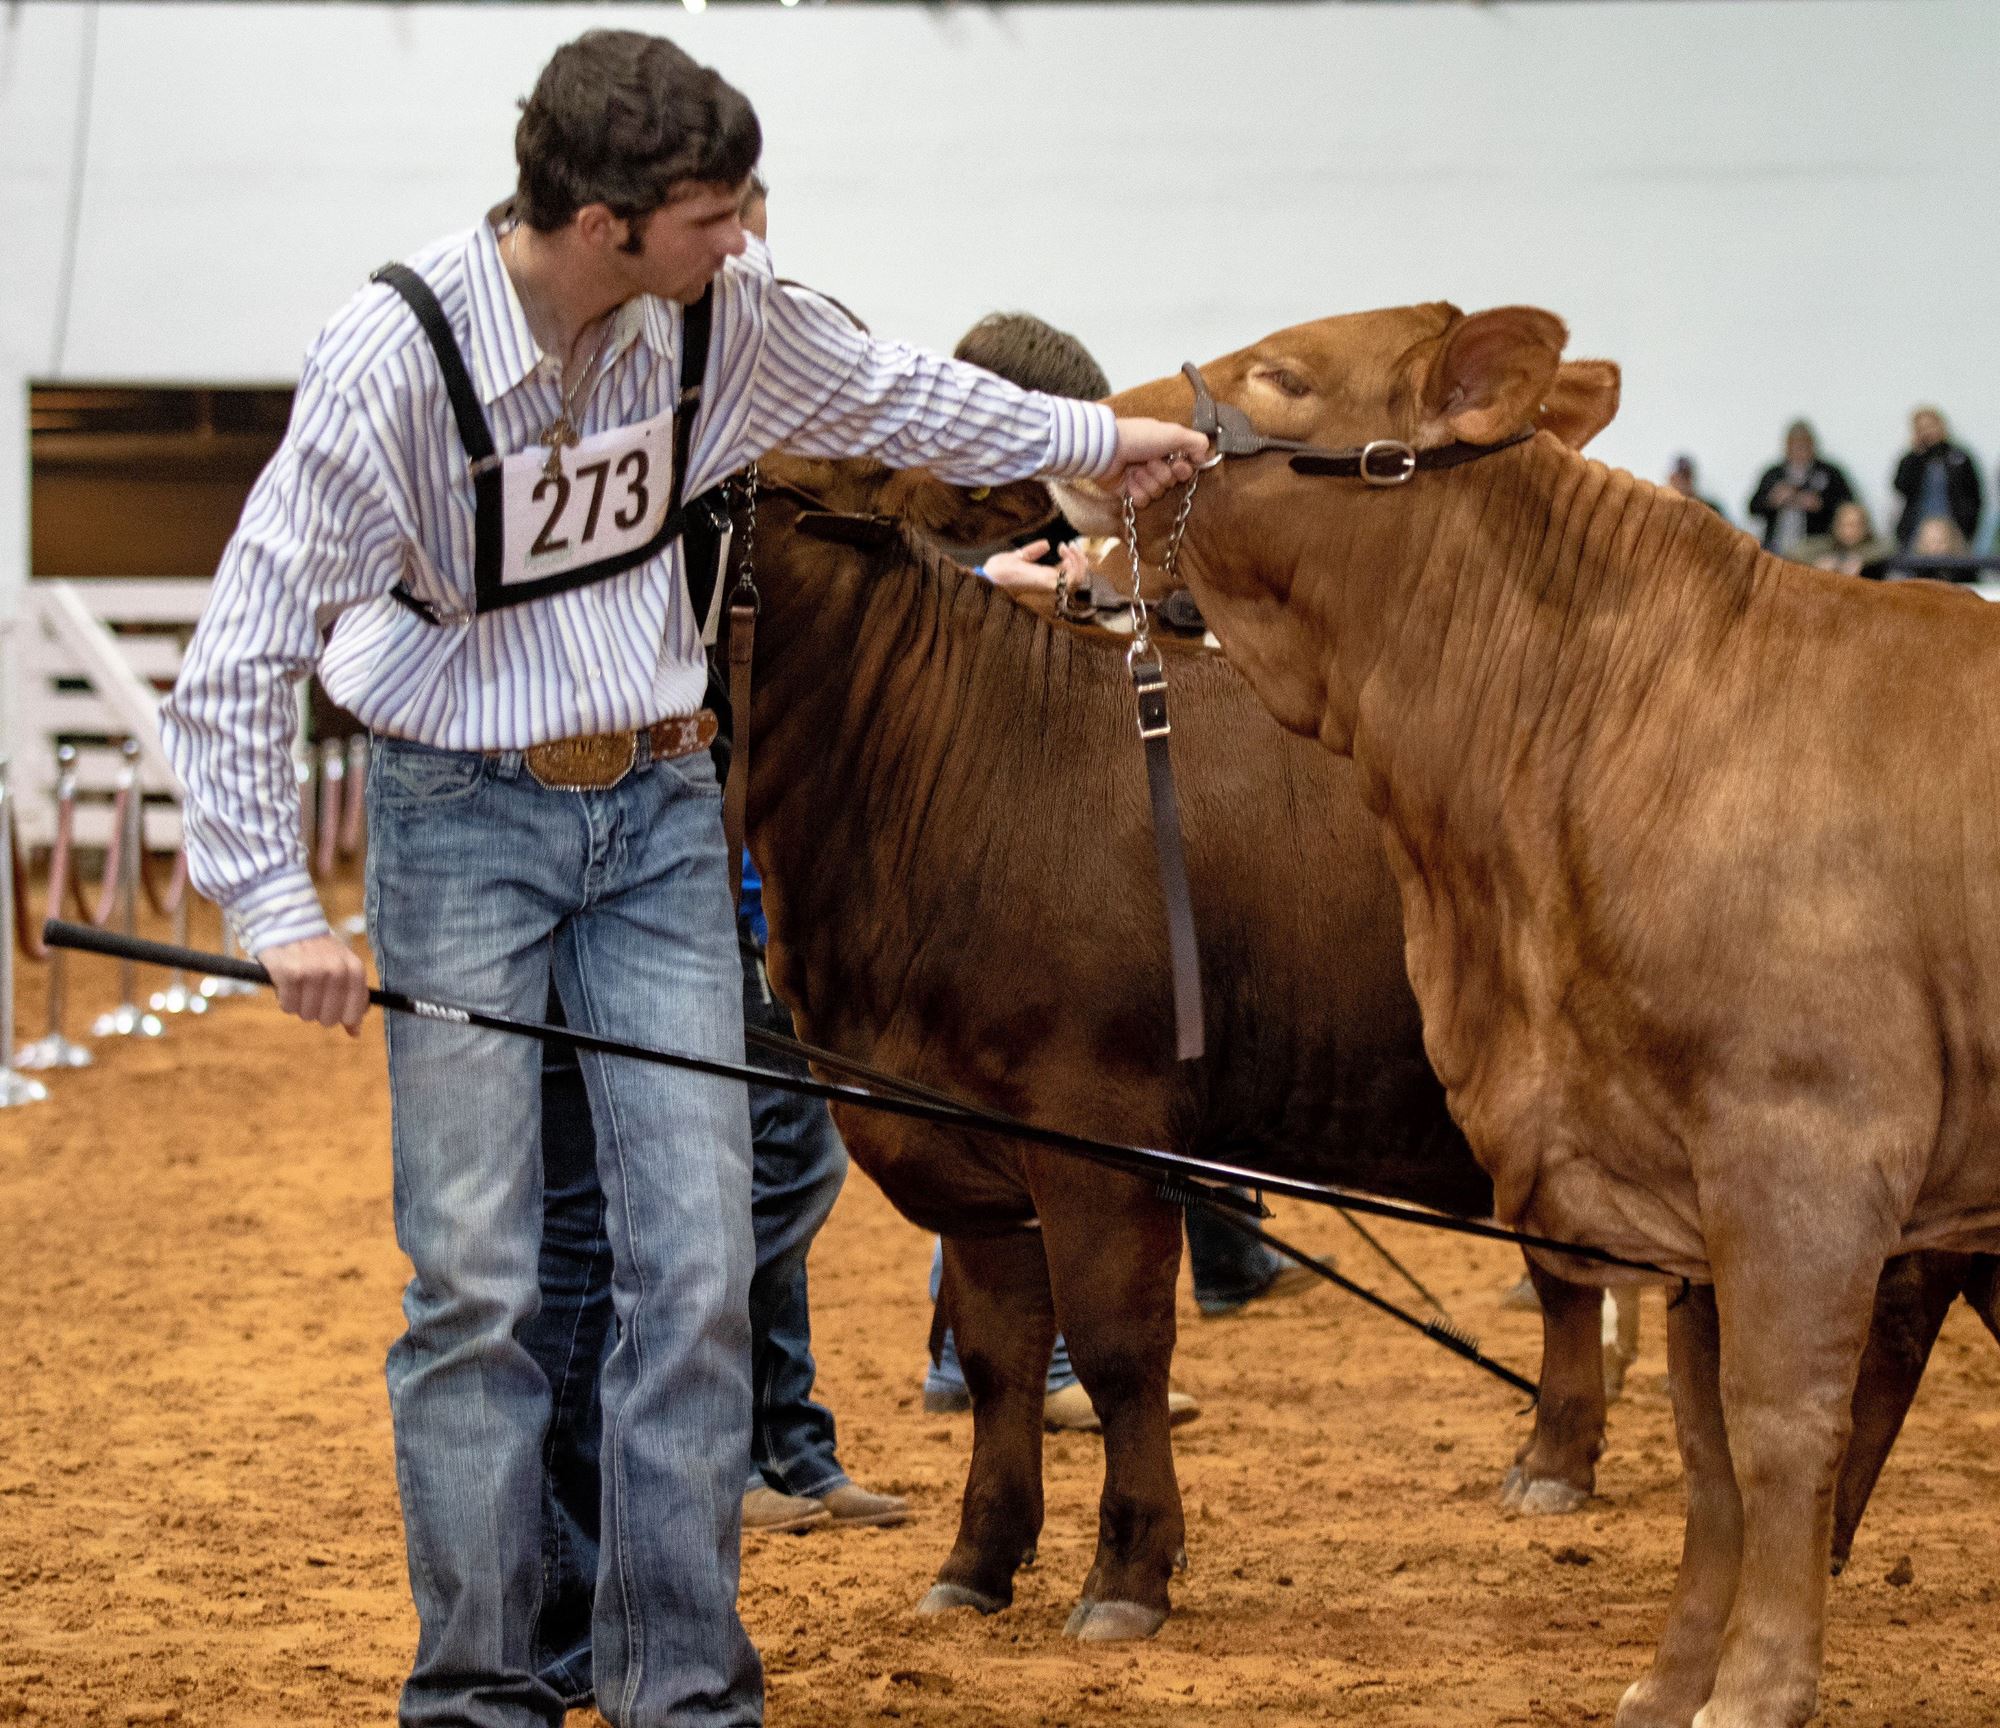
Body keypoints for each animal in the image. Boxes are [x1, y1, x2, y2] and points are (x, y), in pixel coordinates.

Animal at [728, 448, 1965, 1649]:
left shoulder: (1102, 1133)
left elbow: (1120, 1349)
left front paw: (1126, 1575)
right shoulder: (964, 1146)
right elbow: (998, 1360)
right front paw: (974, 1568)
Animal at [1053, 306, 2000, 1724]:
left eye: (1284, 374)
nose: (1097, 432)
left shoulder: (1803, 1152)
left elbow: (1778, 1427)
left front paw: (1756, 1688)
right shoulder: (1674, 1183)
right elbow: (1705, 1443)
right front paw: (1668, 1681)